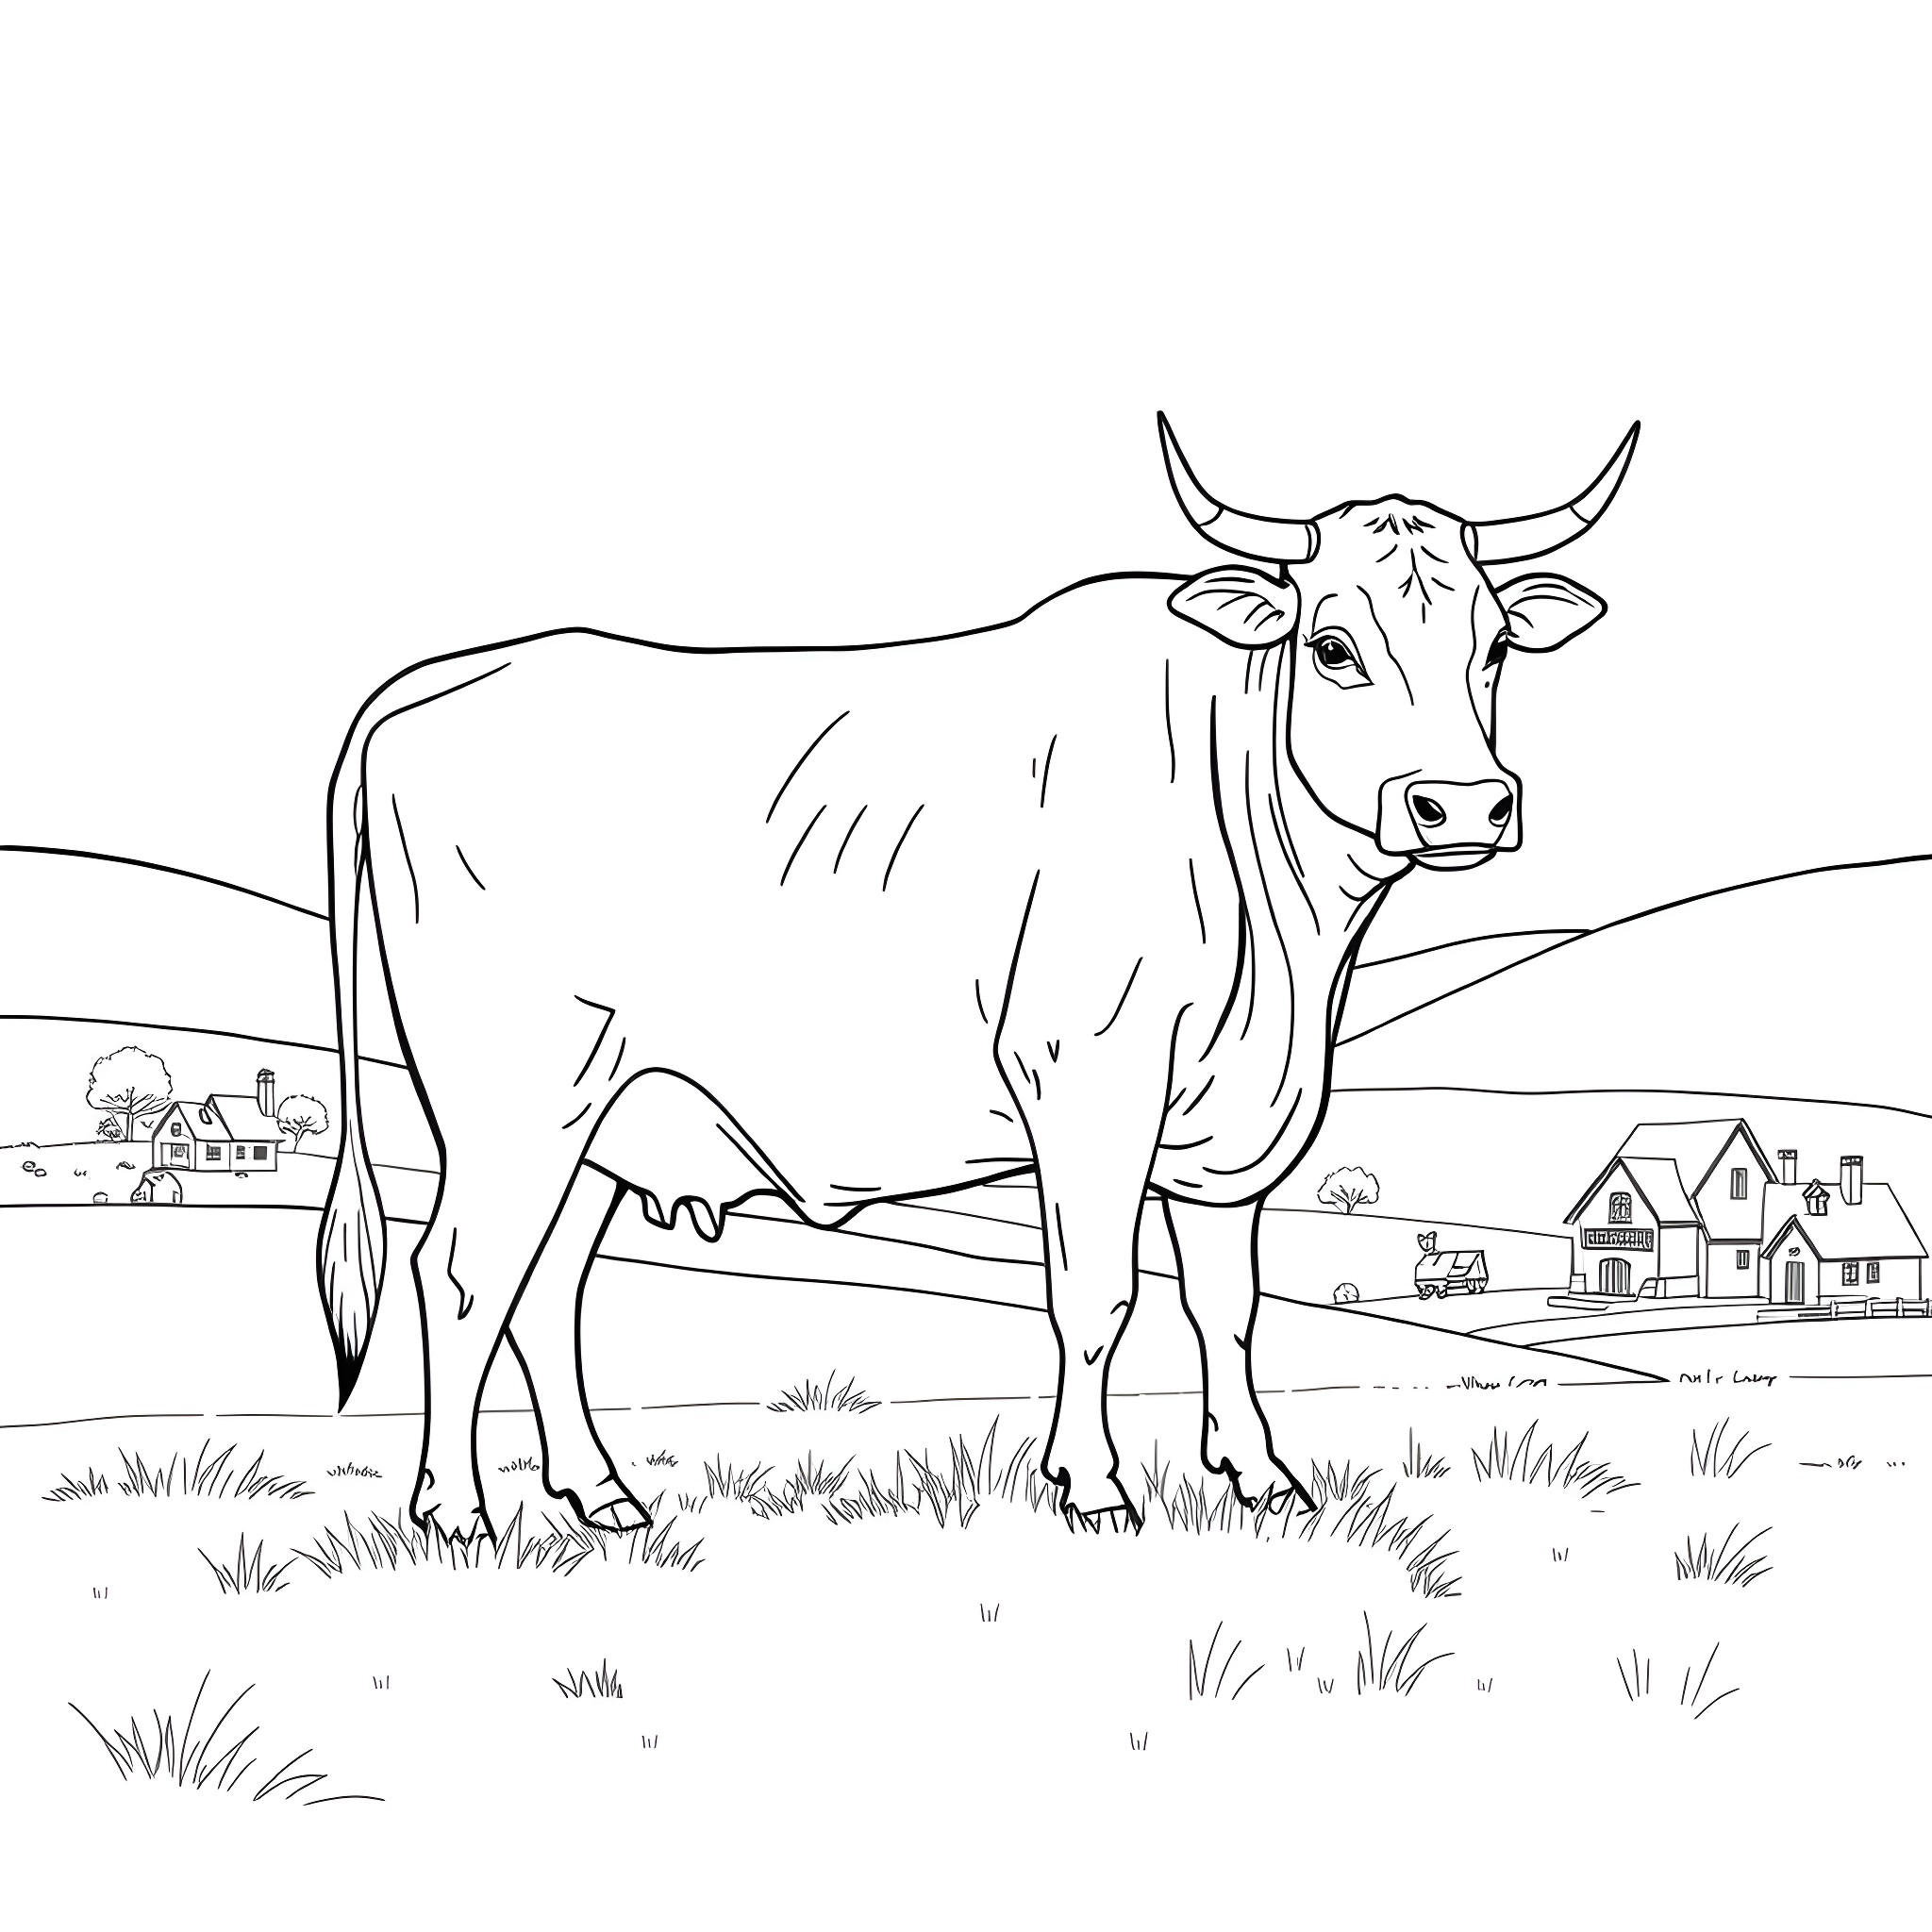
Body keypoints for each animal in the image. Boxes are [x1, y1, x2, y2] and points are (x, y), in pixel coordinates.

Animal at [317, 418, 1638, 1540]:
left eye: (1493, 644)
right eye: (1332, 645)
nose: (1463, 803)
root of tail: (441, 681)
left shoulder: (1230, 1125)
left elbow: (1228, 1304)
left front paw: (1258, 1473)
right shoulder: (1085, 1078)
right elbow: (1095, 1294)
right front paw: (1092, 1483)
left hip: (607, 1110)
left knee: (543, 1293)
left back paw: (600, 1495)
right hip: (516, 1094)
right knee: (461, 1276)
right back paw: (454, 1508)